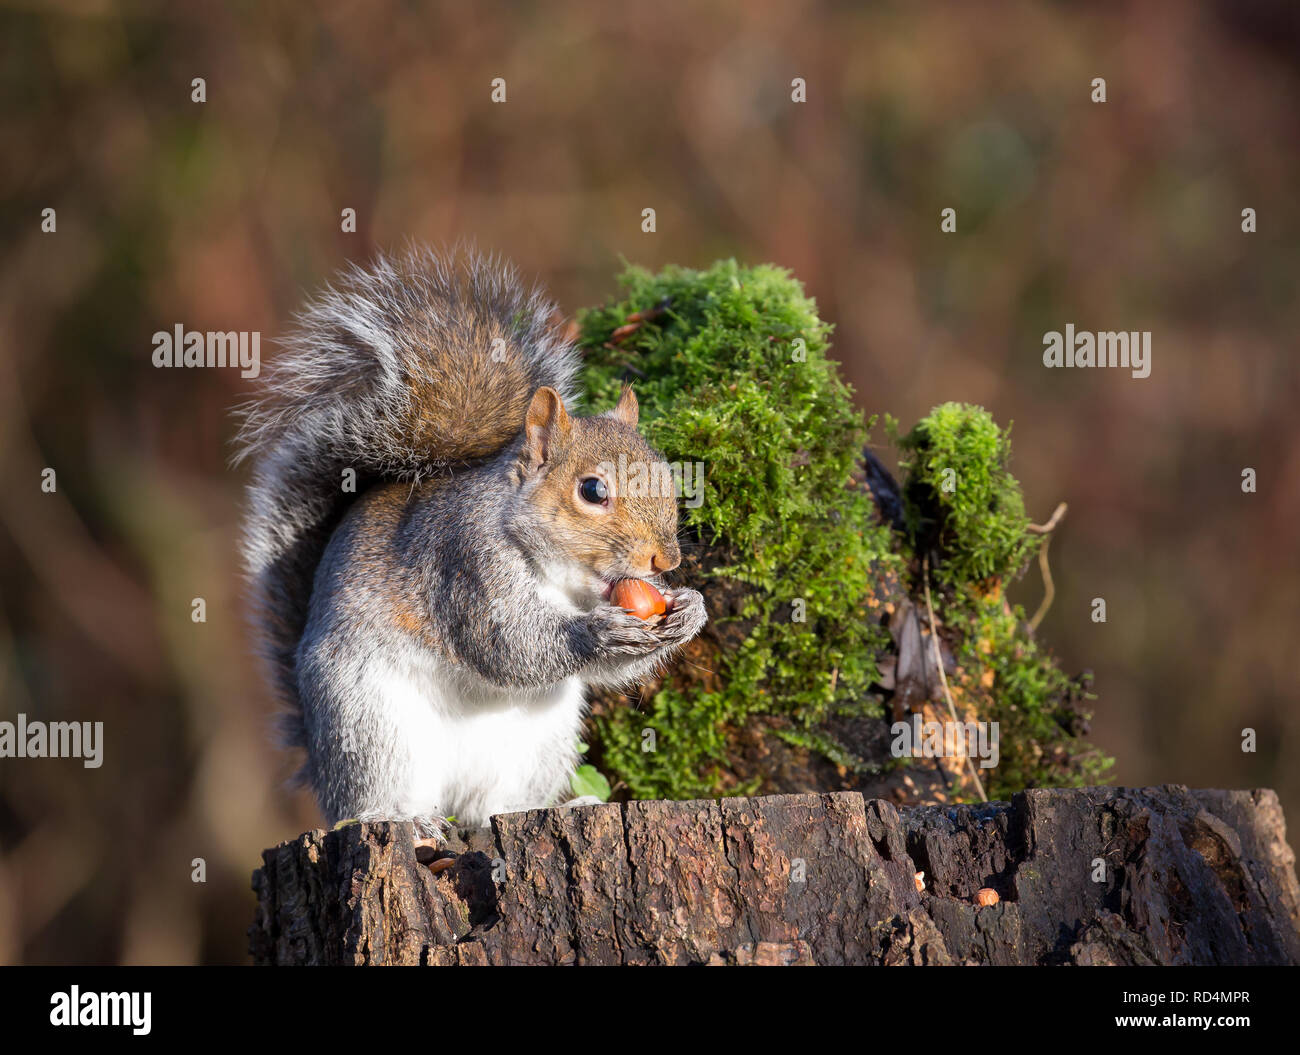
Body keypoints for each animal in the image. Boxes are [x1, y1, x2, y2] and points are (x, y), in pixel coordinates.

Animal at [235, 247, 707, 835]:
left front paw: (690, 608)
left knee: (492, 810)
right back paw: (404, 820)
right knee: (372, 802)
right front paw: (598, 634)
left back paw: (558, 806)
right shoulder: (463, 562)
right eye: (593, 490)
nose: (667, 559)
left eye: (669, 477)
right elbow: (505, 644)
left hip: (537, 741)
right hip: (369, 724)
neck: (560, 578)